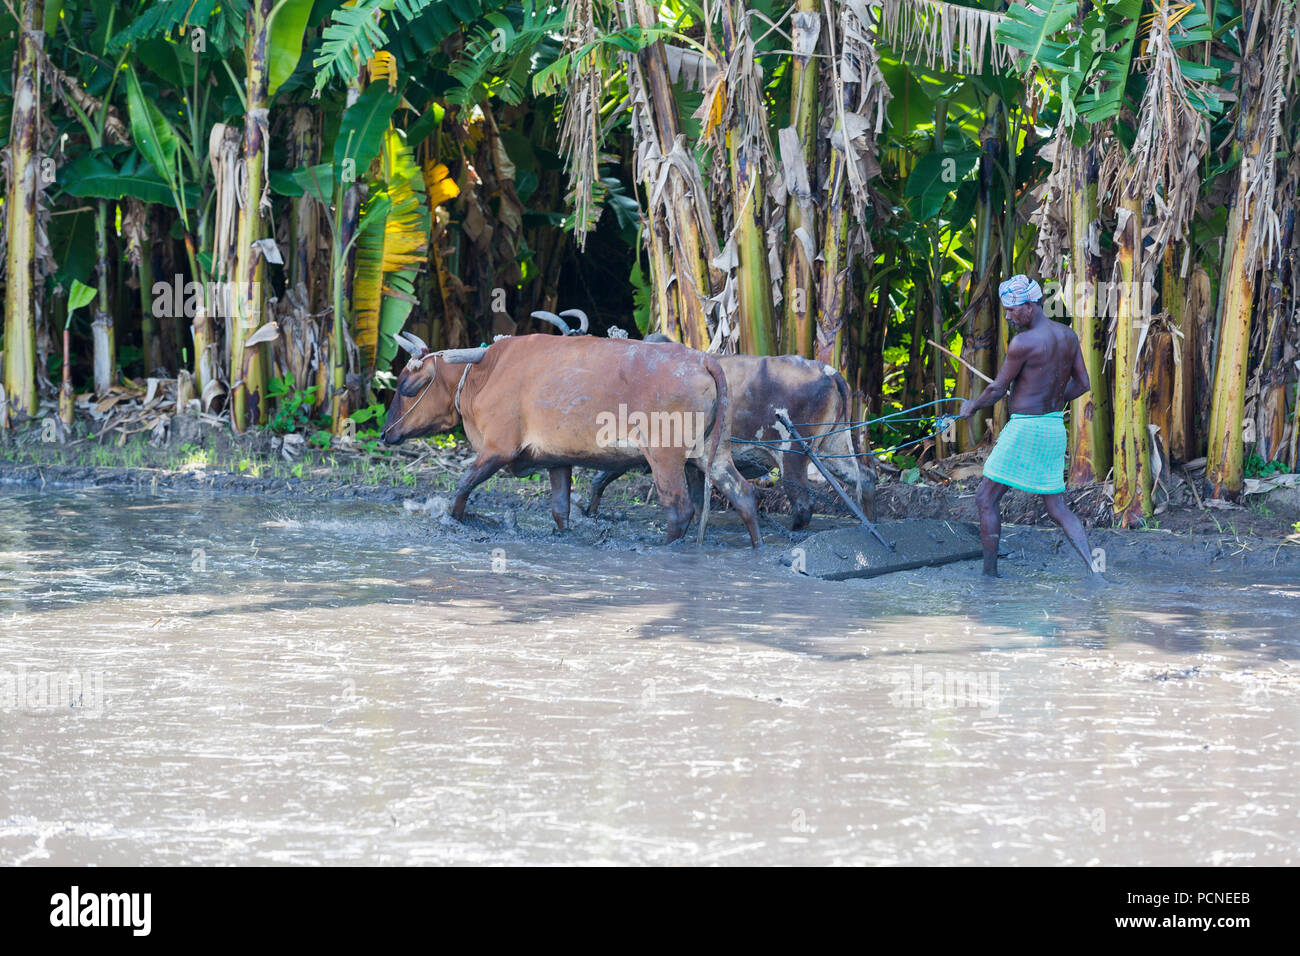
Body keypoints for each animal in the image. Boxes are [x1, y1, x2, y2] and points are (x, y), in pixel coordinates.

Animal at [382, 331, 762, 547]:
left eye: (407, 386)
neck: (482, 372)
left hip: (664, 457)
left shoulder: (497, 450)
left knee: (680, 509)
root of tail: (703, 360)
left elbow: (462, 485)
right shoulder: (557, 461)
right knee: (743, 495)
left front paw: (453, 520)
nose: (386, 433)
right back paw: (757, 546)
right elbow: (560, 509)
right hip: (712, 454)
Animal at [582, 335, 875, 531]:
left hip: (791, 453)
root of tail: (827, 369)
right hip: (830, 448)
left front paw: (589, 511)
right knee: (866, 477)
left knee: (803, 503)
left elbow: (602, 477)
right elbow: (698, 501)